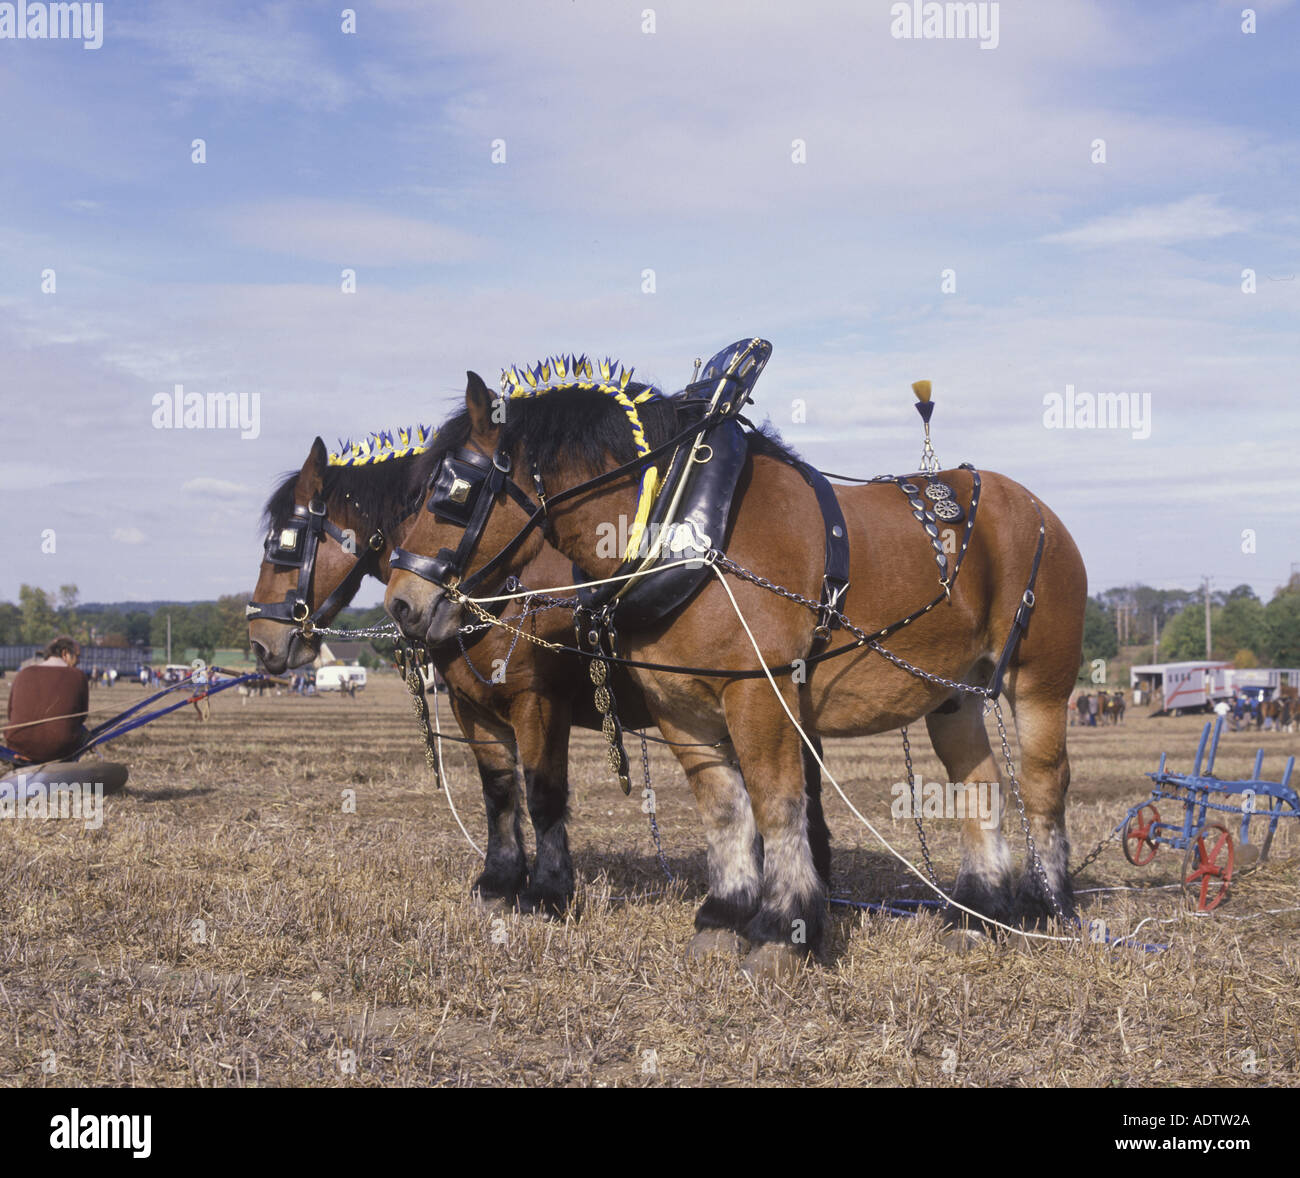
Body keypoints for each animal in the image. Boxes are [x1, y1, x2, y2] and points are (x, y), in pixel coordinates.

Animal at [246, 433, 663, 915]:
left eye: (285, 544)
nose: (259, 641)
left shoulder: (538, 703)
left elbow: (543, 793)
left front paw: (549, 891)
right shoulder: (471, 705)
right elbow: (499, 790)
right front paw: (499, 880)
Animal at [385, 368, 1089, 979]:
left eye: (454, 492)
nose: (401, 603)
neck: (687, 526)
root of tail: (1036, 507)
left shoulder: (759, 696)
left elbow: (777, 804)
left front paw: (783, 931)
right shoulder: (678, 705)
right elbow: (723, 809)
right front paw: (722, 918)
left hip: (1039, 679)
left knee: (1042, 780)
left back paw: (1044, 907)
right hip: (953, 695)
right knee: (980, 782)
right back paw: (978, 913)